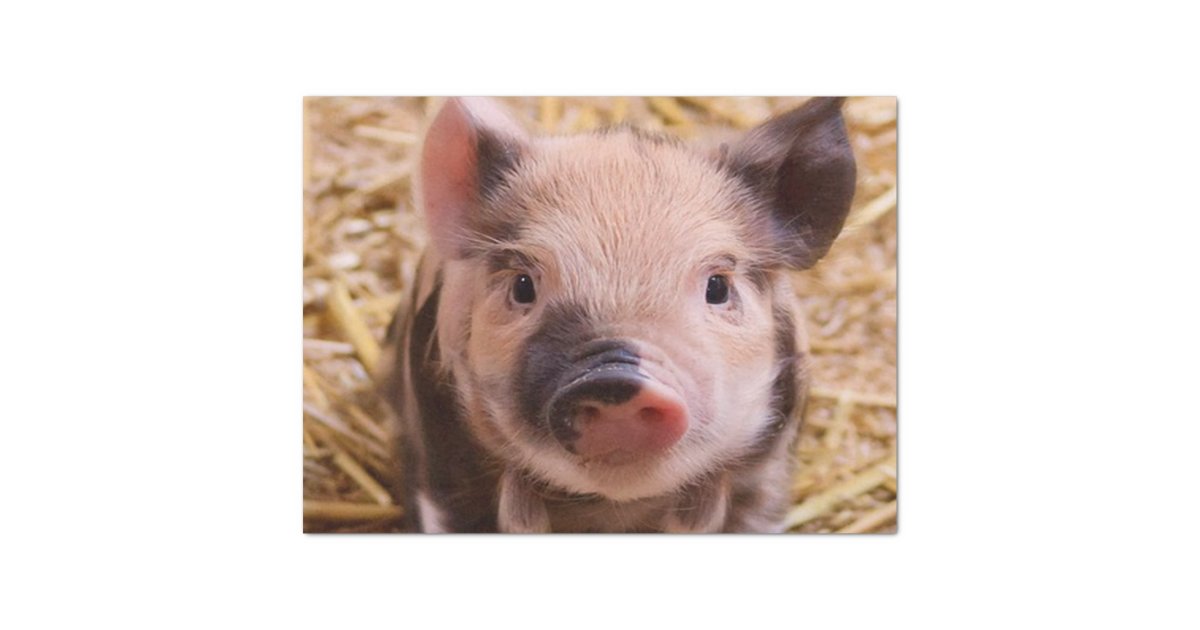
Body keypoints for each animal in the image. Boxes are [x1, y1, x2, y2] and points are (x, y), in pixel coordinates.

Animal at [379, 96, 856, 532]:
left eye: (718, 287)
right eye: (523, 286)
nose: (615, 378)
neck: (614, 508)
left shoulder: (767, 473)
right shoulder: (443, 466)